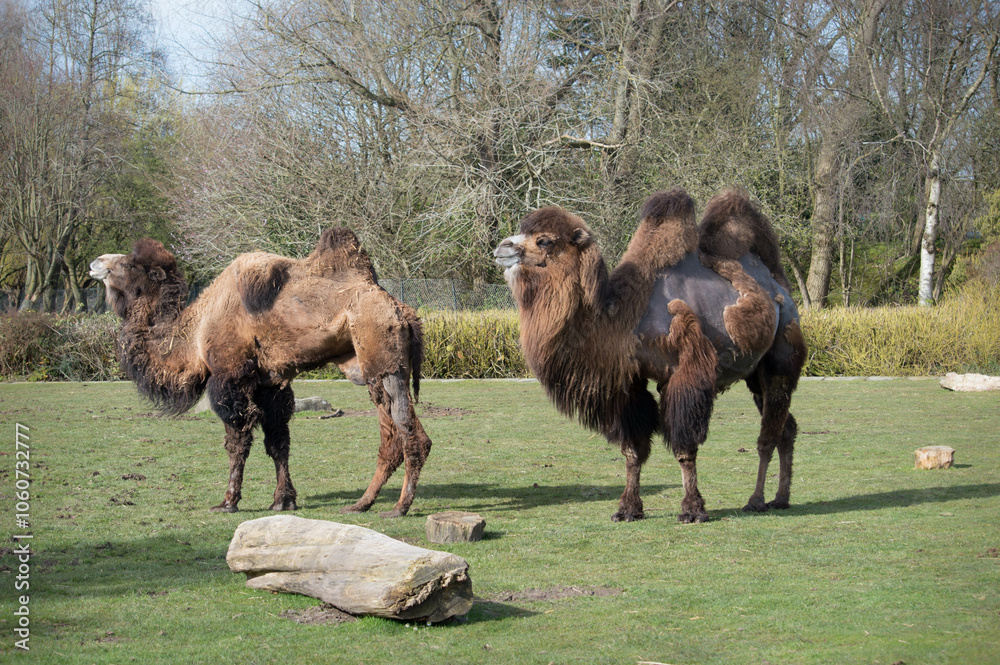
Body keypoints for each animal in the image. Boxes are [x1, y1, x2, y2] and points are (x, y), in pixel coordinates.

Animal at [90, 229, 432, 517]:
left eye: (128, 264)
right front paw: (283, 500)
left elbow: (237, 441)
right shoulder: (270, 383)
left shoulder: (229, 377)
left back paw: (398, 507)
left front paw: (228, 502)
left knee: (408, 433)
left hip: (382, 359)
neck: (193, 332)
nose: (95, 262)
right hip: (377, 363)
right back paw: (361, 504)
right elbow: (278, 441)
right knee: (395, 436)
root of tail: (404, 311)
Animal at [494, 188, 806, 523]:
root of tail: (778, 284)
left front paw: (692, 509)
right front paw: (628, 509)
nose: (502, 247)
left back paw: (756, 500)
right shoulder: (630, 382)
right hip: (754, 375)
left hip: (781, 356)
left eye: (544, 241)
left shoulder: (686, 370)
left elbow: (685, 447)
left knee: (767, 436)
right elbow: (633, 449)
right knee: (786, 427)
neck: (624, 317)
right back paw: (781, 498)